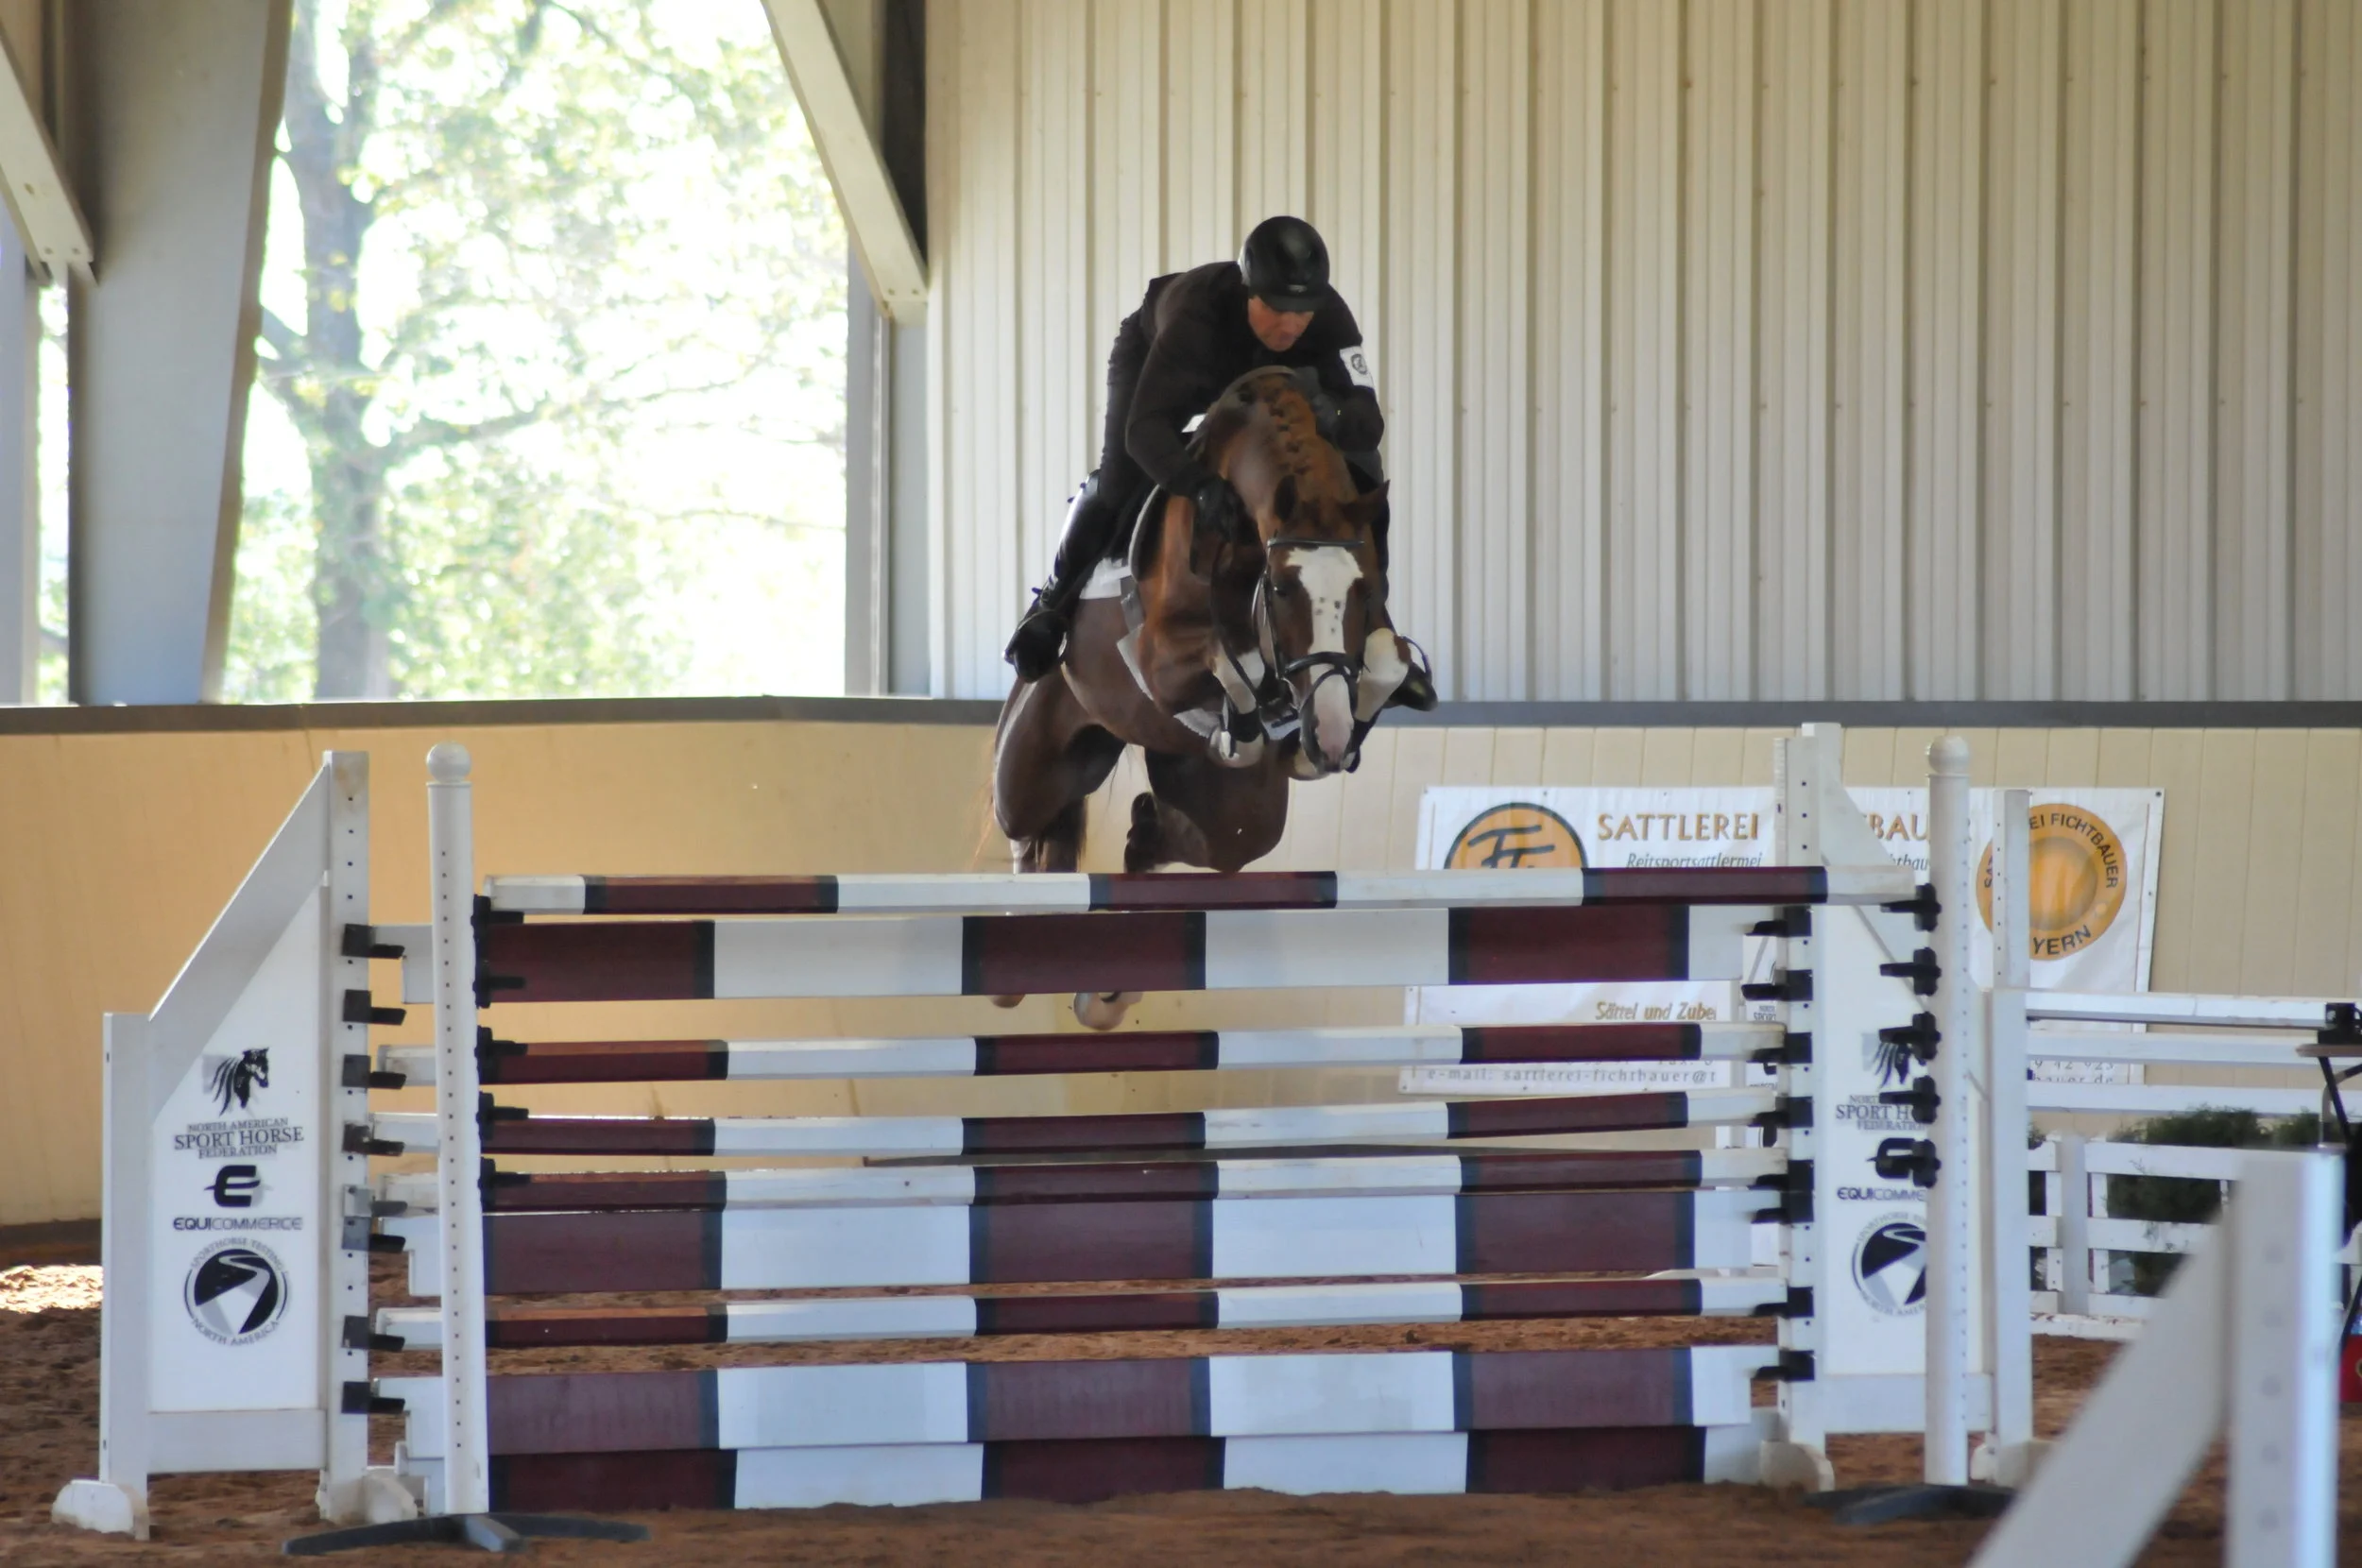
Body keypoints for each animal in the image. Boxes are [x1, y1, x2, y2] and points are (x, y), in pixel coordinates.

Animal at [991, 366, 1417, 1027]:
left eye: (1363, 587)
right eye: (1282, 588)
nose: (1328, 734)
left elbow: (1385, 661)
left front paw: (1310, 741)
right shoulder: (1158, 658)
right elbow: (1233, 657)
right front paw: (1249, 727)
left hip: (1227, 808)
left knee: (1186, 846)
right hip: (1035, 752)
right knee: (1024, 825)